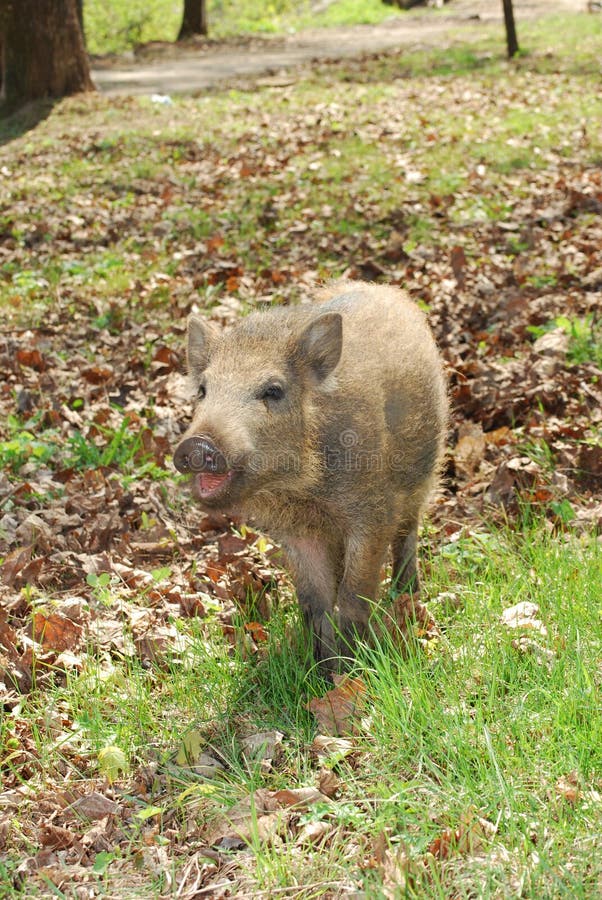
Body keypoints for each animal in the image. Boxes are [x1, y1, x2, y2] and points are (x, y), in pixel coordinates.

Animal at [174, 280, 448, 670]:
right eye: (203, 390)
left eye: (273, 390)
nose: (197, 443)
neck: (305, 492)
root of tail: (384, 289)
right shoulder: (297, 532)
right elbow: (315, 603)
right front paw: (321, 670)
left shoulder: (373, 516)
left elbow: (352, 596)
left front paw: (352, 671)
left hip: (425, 471)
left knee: (409, 531)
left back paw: (407, 594)